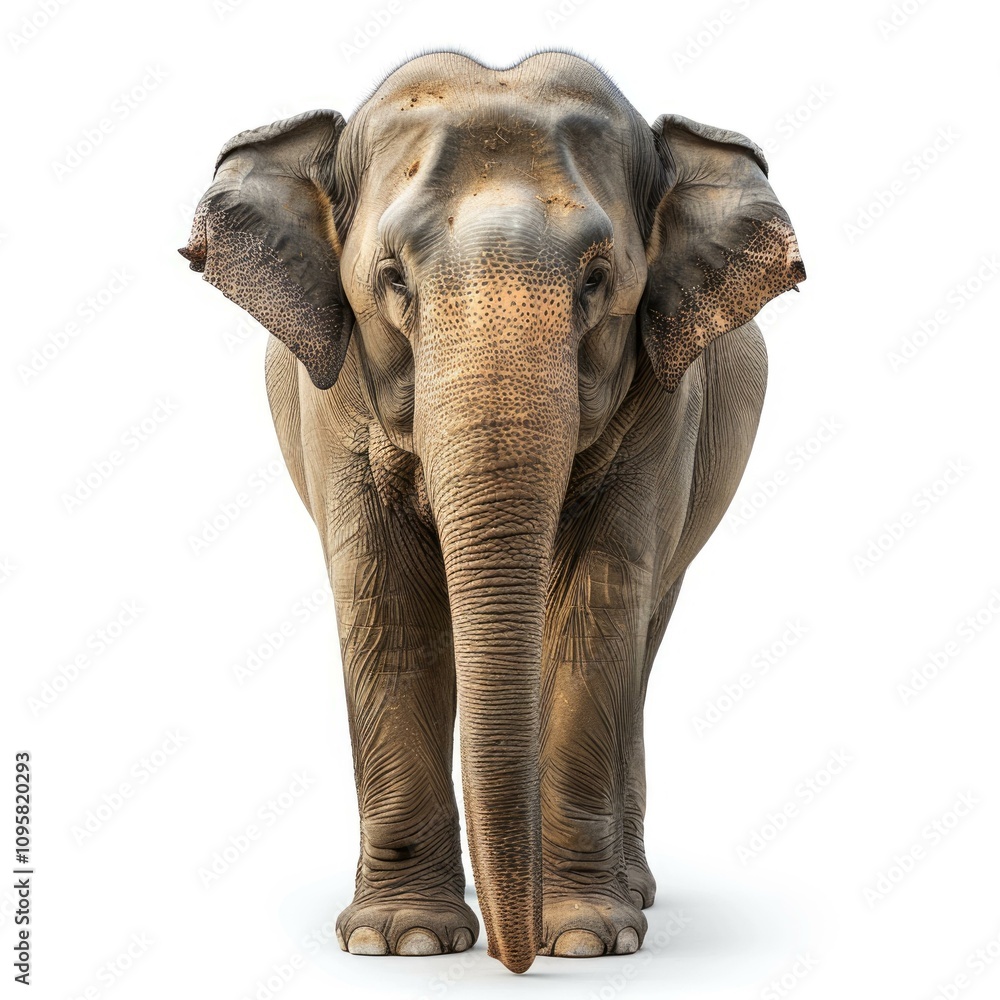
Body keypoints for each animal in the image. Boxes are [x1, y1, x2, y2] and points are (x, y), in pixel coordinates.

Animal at [180, 50, 805, 974]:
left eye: (598, 281)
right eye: (392, 279)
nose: (516, 963)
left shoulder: (666, 402)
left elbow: (599, 608)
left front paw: (584, 936)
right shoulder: (333, 399)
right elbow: (385, 605)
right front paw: (399, 940)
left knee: (640, 634)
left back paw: (630, 893)